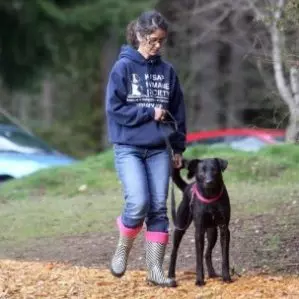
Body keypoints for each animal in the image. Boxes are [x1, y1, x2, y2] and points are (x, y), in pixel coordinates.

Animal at [169, 158, 232, 288]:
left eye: (215, 170)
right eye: (201, 171)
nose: (209, 182)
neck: (210, 197)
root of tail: (188, 186)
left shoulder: (224, 228)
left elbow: (225, 257)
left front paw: (226, 277)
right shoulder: (199, 230)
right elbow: (198, 258)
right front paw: (199, 280)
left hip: (212, 232)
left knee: (207, 253)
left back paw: (212, 274)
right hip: (180, 226)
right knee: (174, 251)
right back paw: (170, 274)